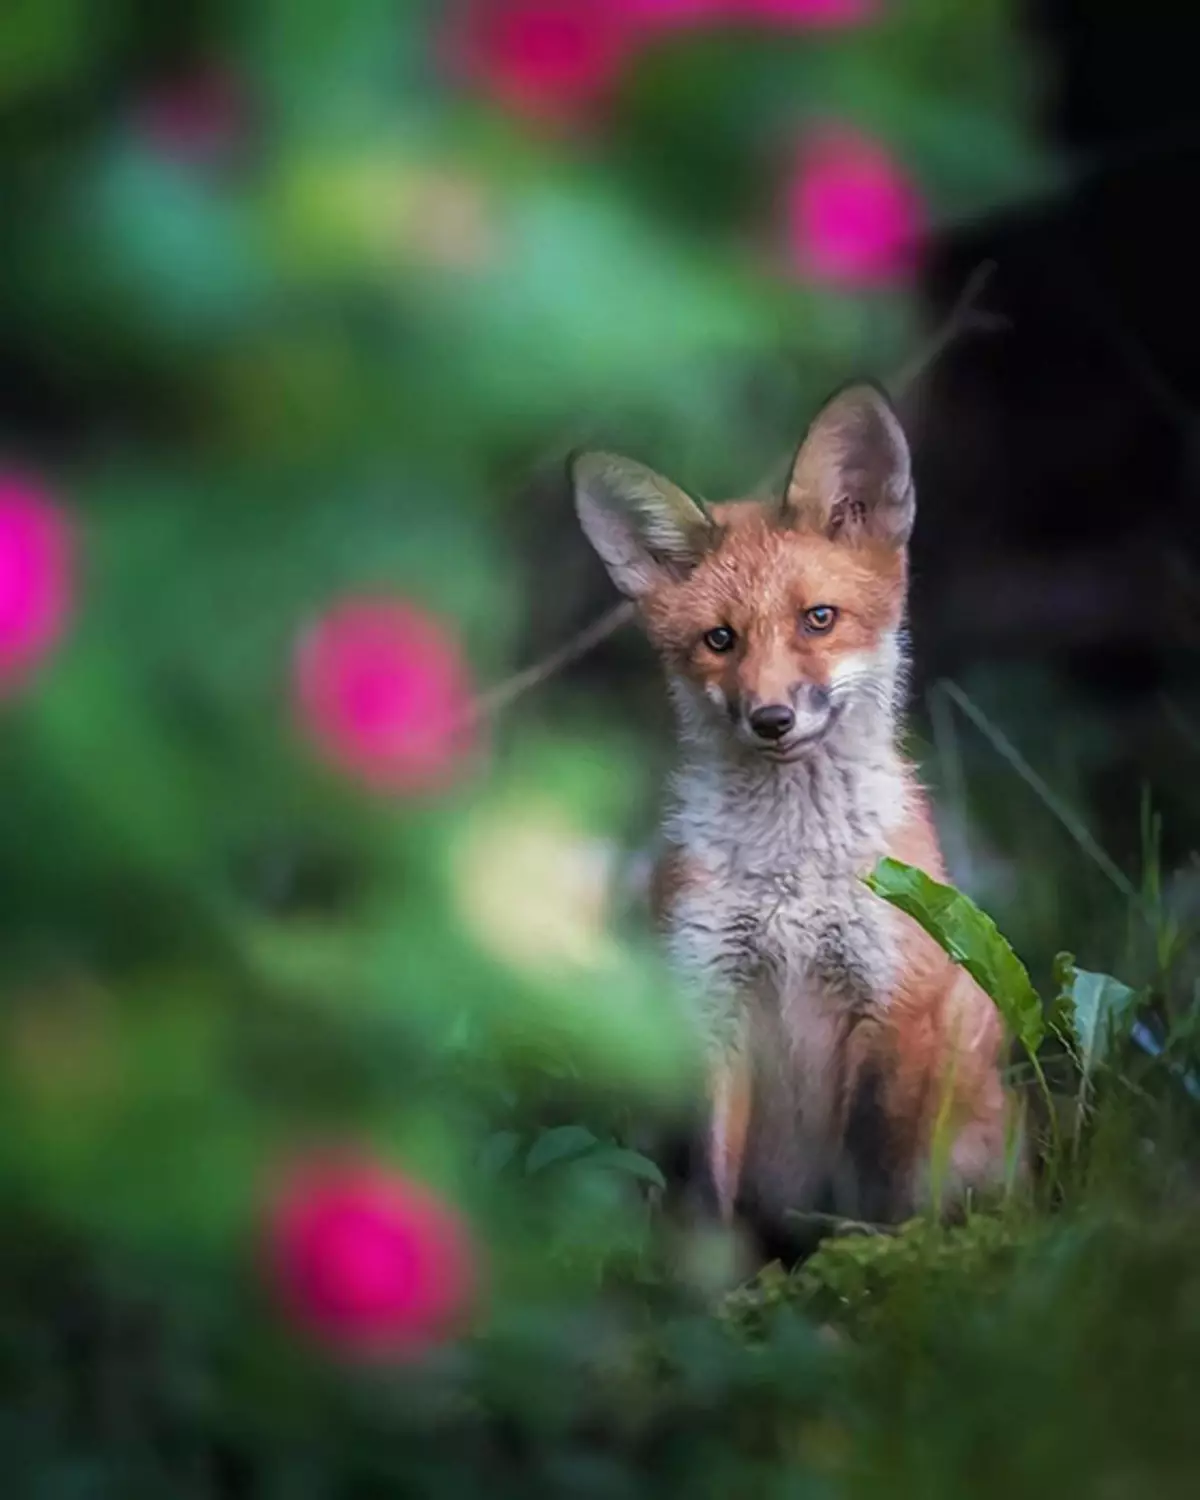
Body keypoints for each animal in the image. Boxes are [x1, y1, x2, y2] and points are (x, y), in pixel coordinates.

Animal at [570, 384, 1014, 1254]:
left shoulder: (890, 1010)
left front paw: (877, 1266)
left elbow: (881, 1188)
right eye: (720, 640)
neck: (794, 877)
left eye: (819, 618)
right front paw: (714, 1283)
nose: (771, 718)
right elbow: (711, 1194)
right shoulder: (707, 1001)